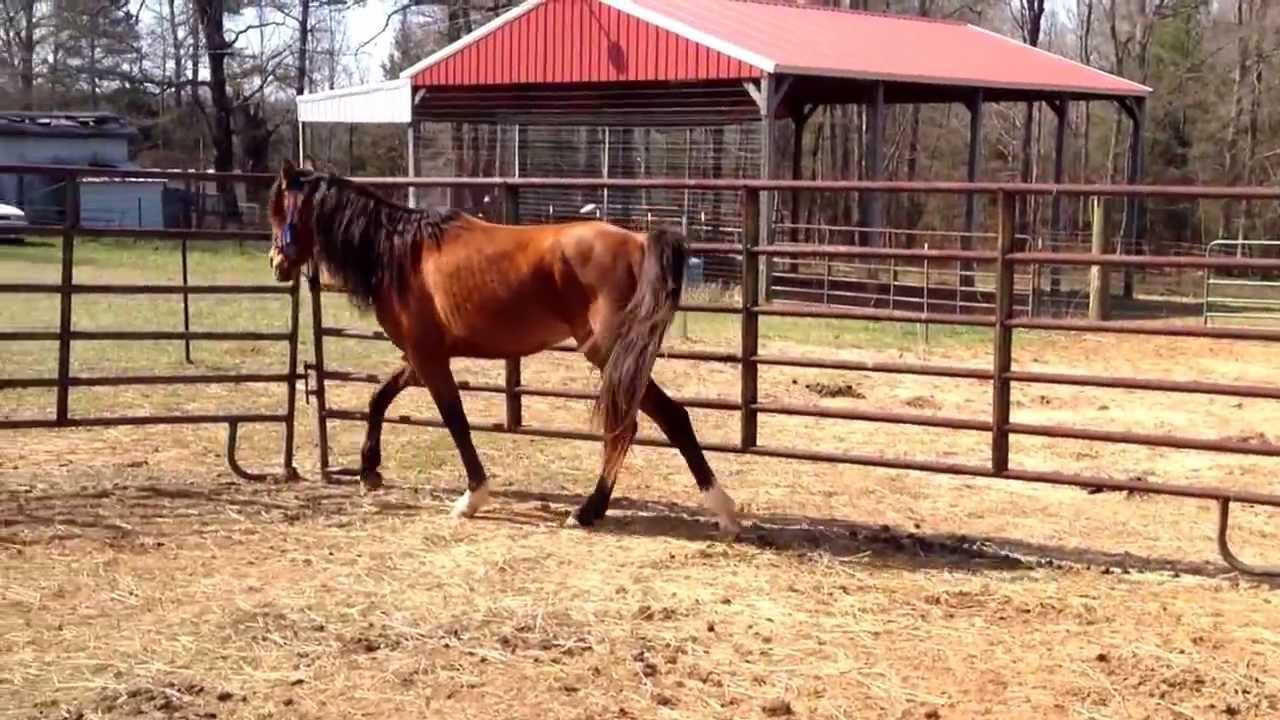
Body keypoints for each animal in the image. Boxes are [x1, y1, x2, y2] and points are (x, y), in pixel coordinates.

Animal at [266, 160, 742, 538]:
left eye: (280, 212)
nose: (277, 264)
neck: (403, 253)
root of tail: (640, 242)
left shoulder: (429, 359)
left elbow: (455, 422)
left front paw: (472, 497)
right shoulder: (421, 357)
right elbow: (378, 398)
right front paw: (369, 471)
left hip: (609, 354)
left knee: (647, 423)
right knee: (651, 423)